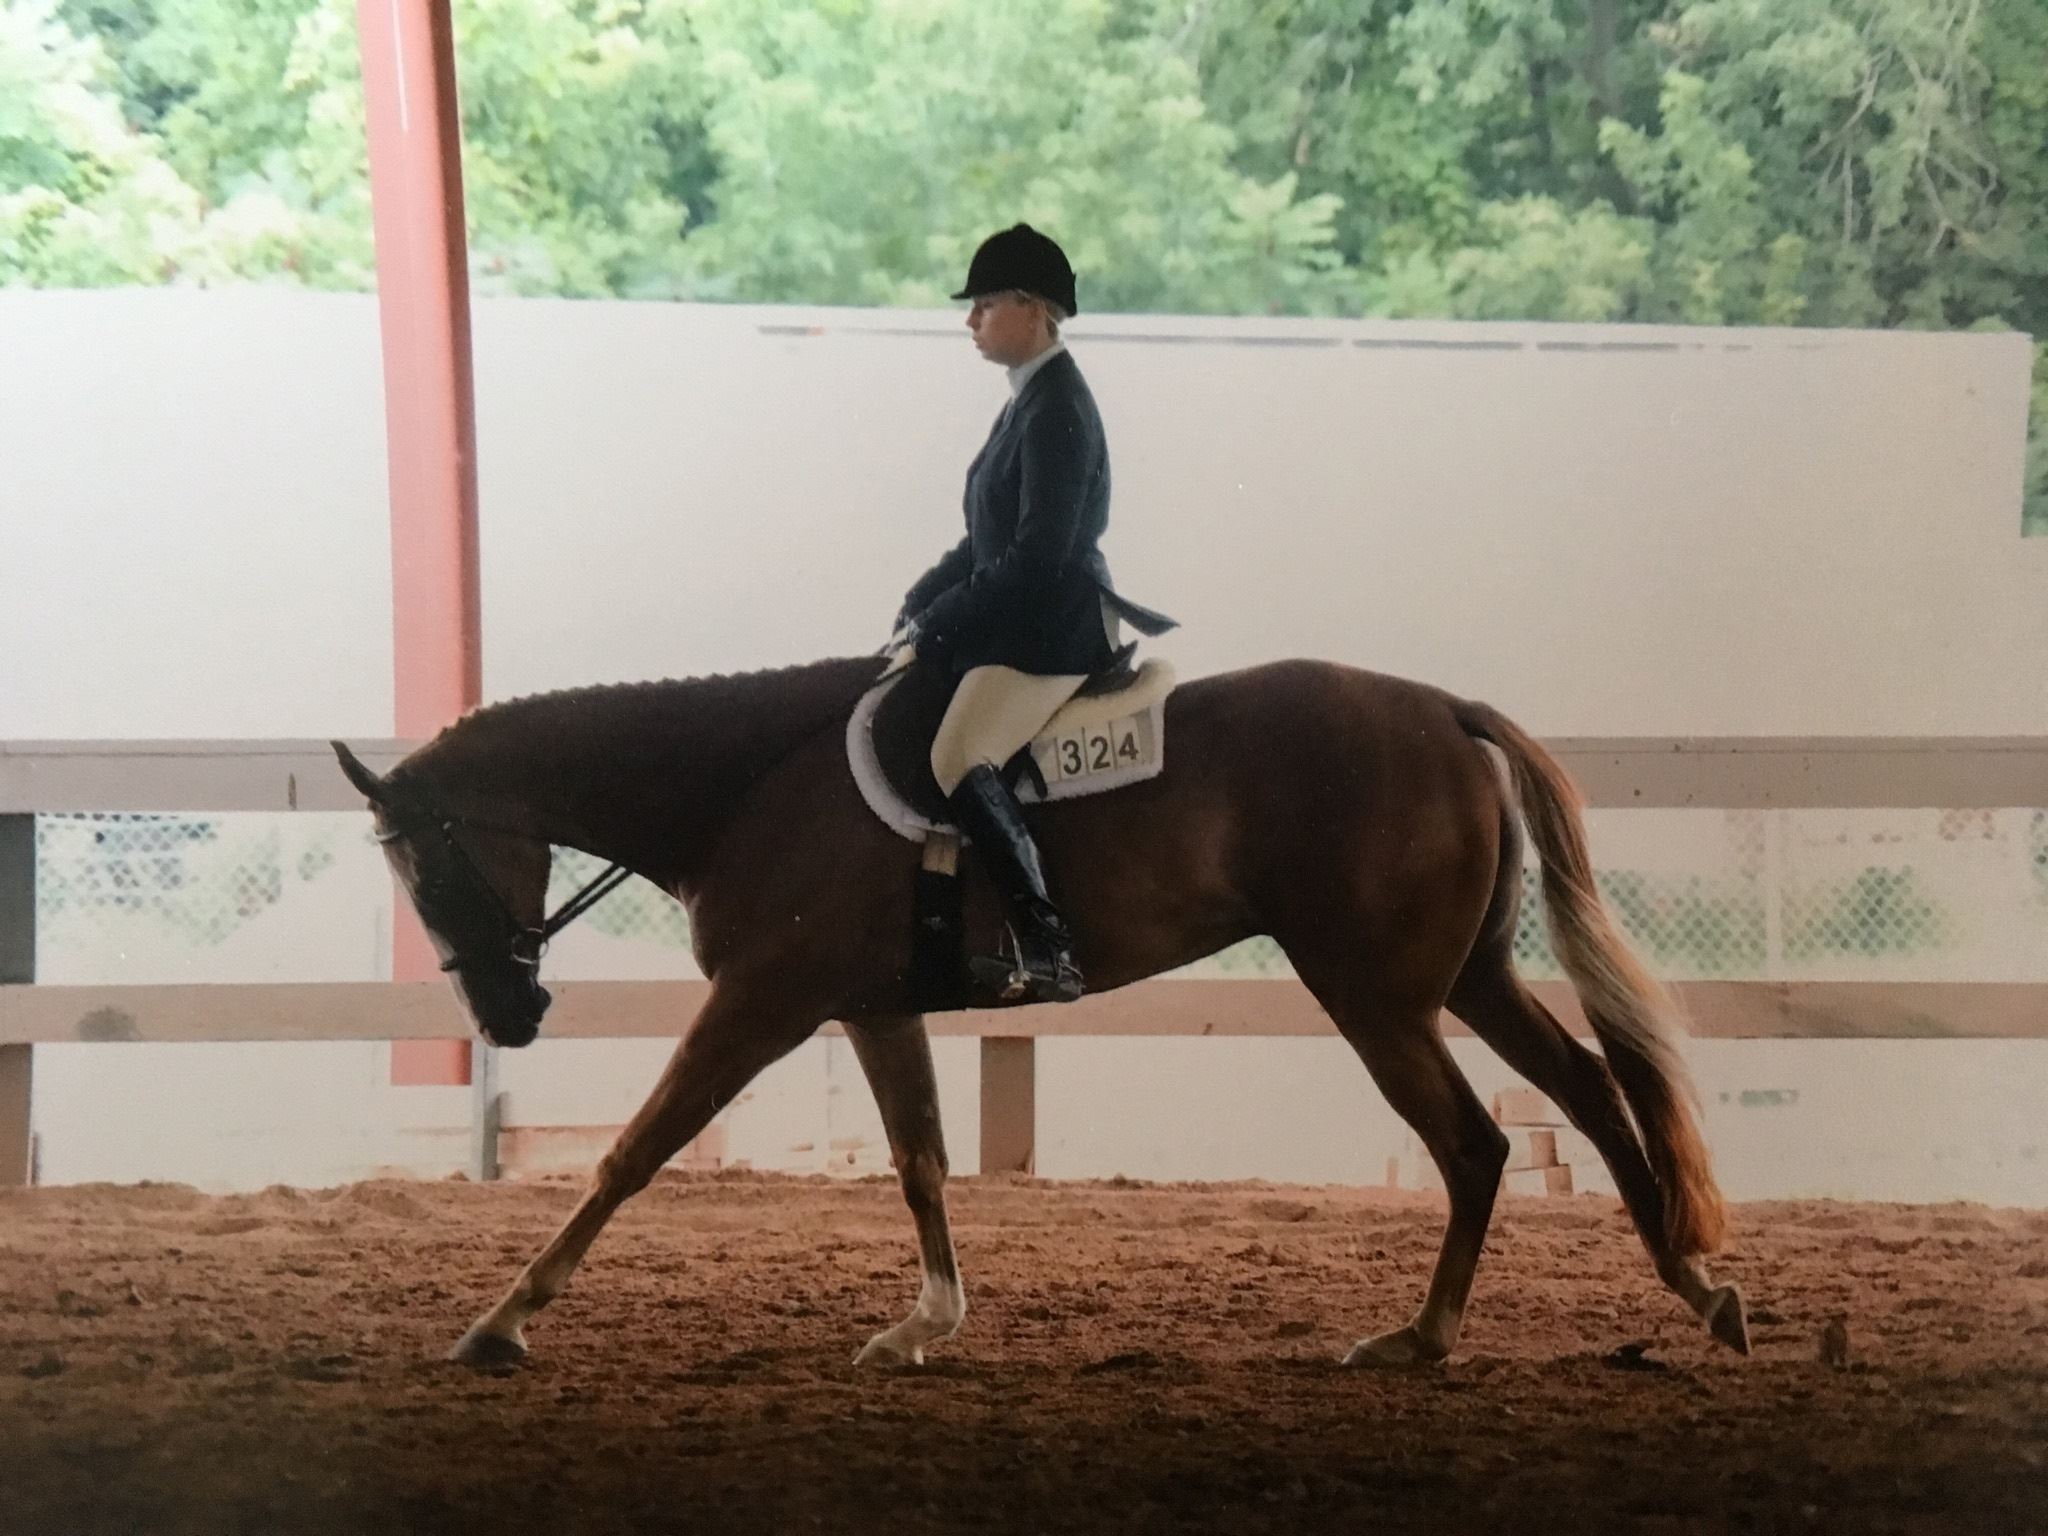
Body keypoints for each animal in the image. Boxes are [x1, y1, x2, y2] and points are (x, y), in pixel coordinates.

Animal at [330, 653, 1750, 1371]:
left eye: (427, 870)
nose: (509, 1015)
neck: (744, 784)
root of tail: (1444, 709)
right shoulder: (867, 1008)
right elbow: (917, 1160)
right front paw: (926, 1321)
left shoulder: (762, 1003)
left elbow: (633, 1153)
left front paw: (501, 1320)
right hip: (1459, 979)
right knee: (1586, 1091)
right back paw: (1693, 1291)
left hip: (1374, 995)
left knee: (1477, 1141)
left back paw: (1422, 1337)